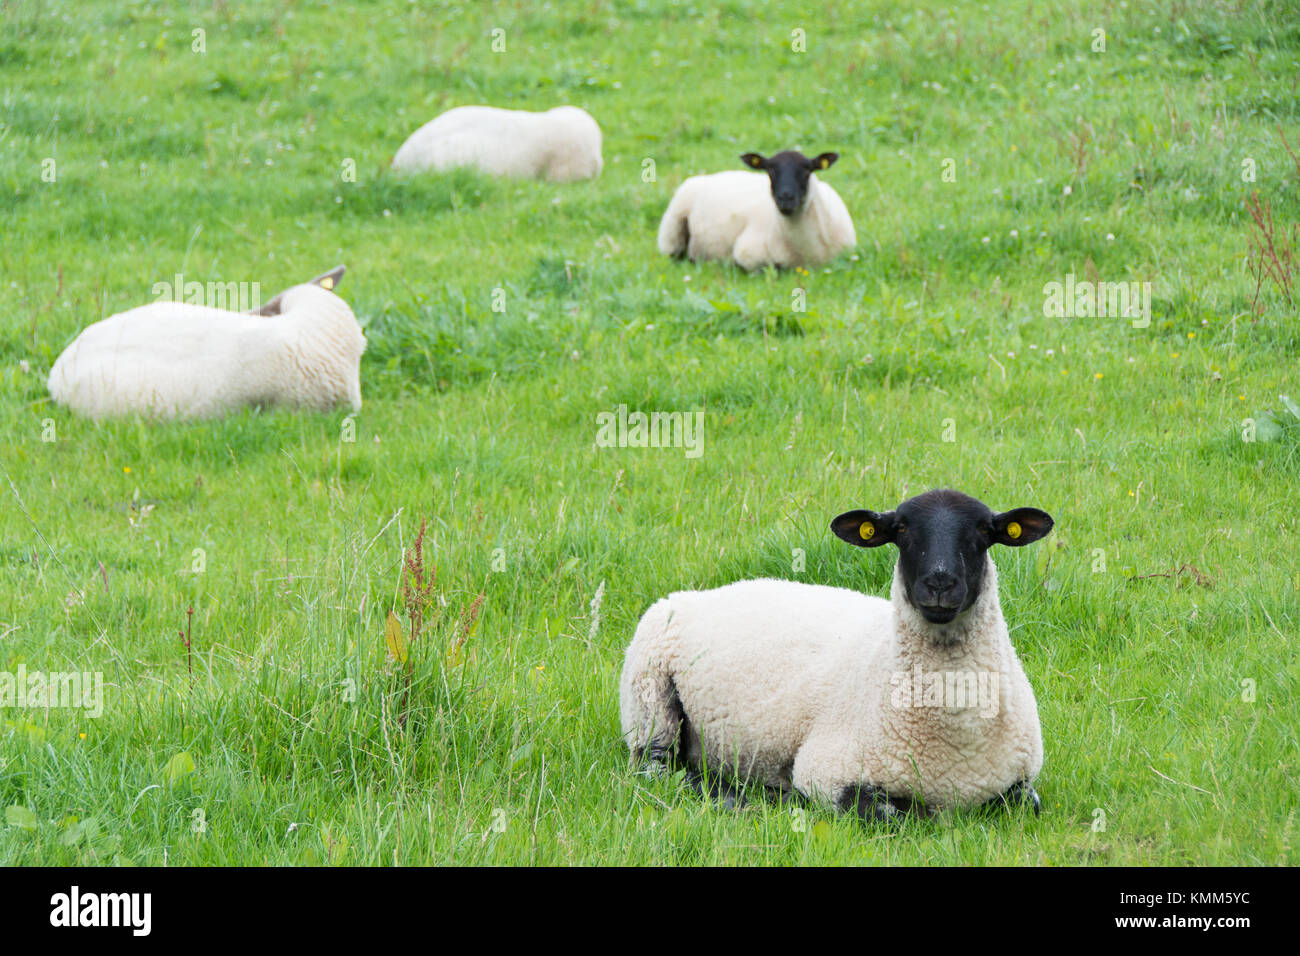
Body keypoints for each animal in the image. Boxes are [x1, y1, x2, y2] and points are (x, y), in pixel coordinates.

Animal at [619, 488, 1054, 819]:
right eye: (900, 529)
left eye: (984, 531)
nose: (940, 583)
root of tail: (695, 594)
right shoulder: (826, 772)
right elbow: (896, 816)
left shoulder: (1021, 781)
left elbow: (1027, 804)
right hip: (649, 704)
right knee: (656, 767)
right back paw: (737, 796)